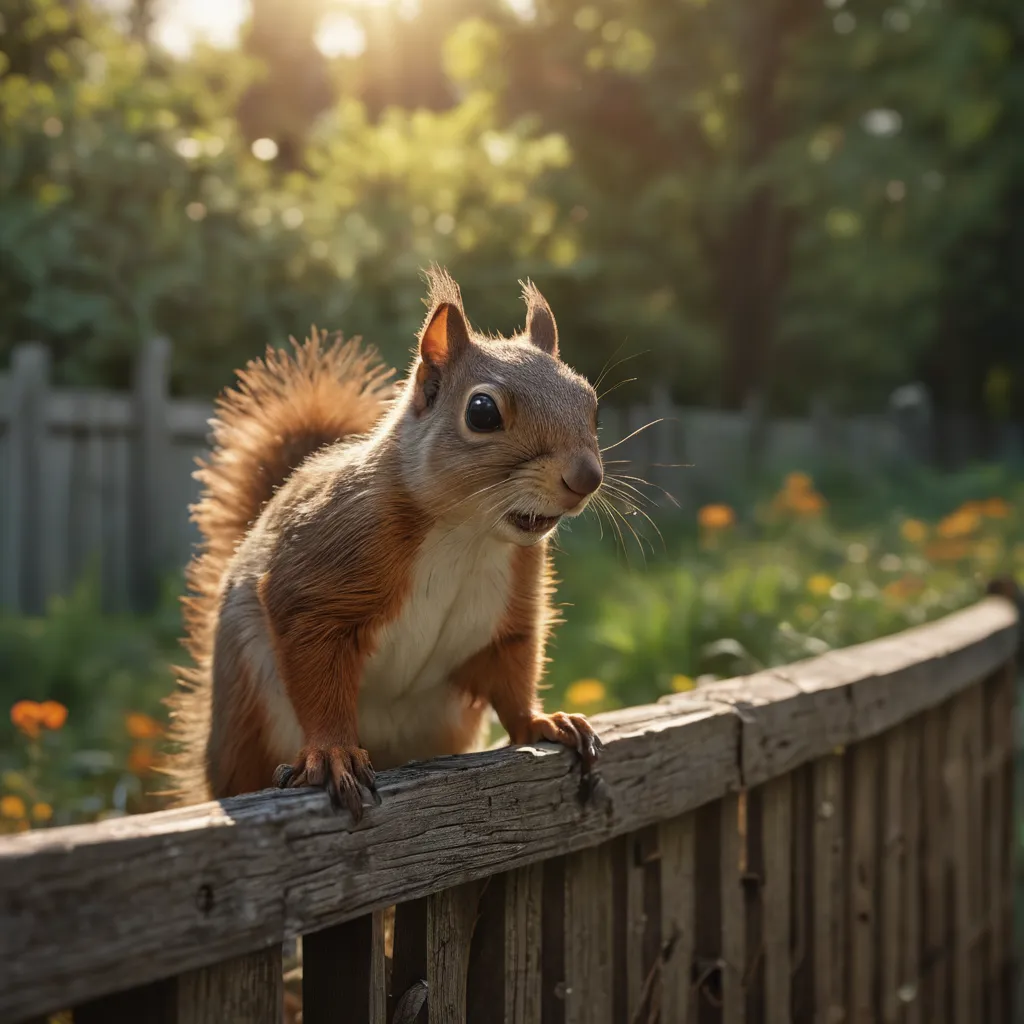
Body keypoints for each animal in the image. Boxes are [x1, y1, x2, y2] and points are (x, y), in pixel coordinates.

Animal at [165, 268, 604, 816]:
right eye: (482, 412)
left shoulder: (511, 611)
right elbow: (316, 667)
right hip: (248, 718)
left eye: (591, 402)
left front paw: (542, 722)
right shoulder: (323, 576)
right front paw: (333, 754)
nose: (586, 477)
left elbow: (512, 672)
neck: (467, 535)